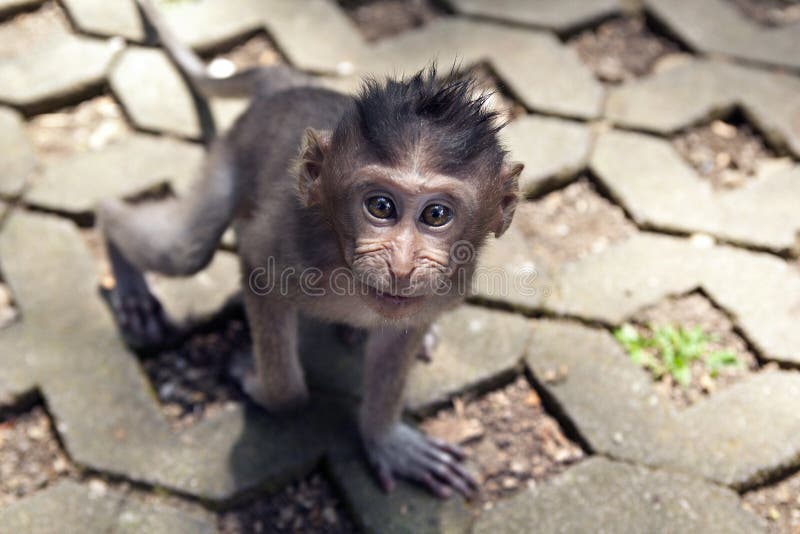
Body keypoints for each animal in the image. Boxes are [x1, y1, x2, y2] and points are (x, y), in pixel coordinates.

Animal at [99, 0, 523, 499]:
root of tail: (285, 88)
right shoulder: (287, 248)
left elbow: (400, 336)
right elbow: (279, 358)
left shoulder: (446, 285)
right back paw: (116, 245)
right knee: (187, 248)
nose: (400, 265)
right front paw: (257, 382)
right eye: (380, 206)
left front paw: (386, 440)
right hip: (232, 155)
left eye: (436, 215)